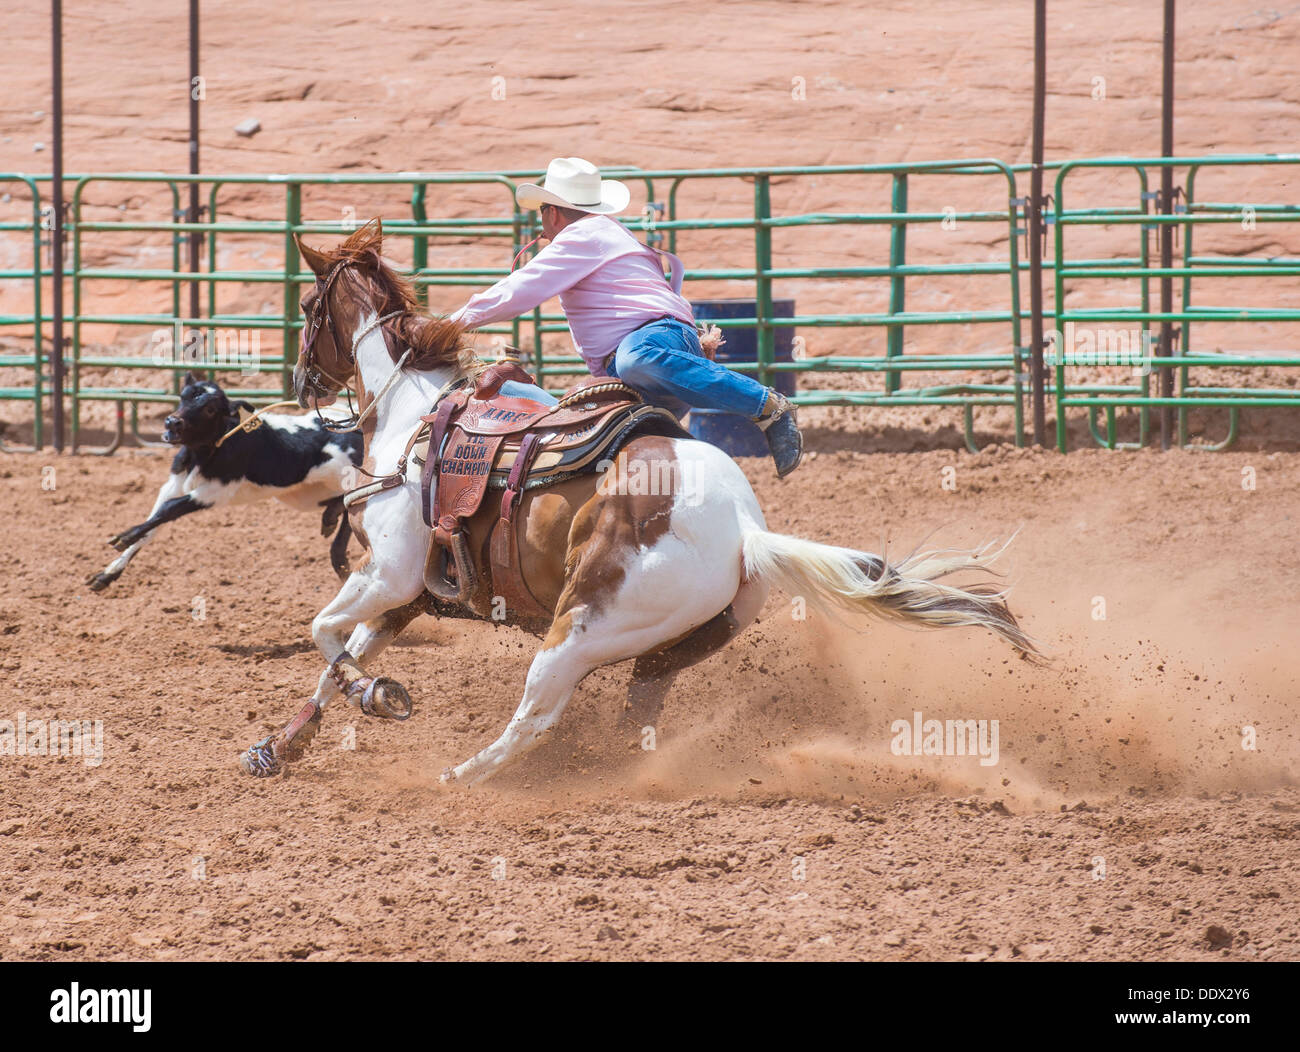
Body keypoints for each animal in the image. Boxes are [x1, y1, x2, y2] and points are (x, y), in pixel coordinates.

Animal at [89, 374, 363, 592]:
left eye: (210, 409)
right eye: (184, 397)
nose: (172, 423)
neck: (203, 453)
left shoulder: (215, 492)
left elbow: (168, 510)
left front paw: (123, 536)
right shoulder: (173, 485)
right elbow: (153, 523)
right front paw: (106, 574)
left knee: (351, 510)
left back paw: (337, 547)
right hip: (306, 495)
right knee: (338, 507)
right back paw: (330, 521)